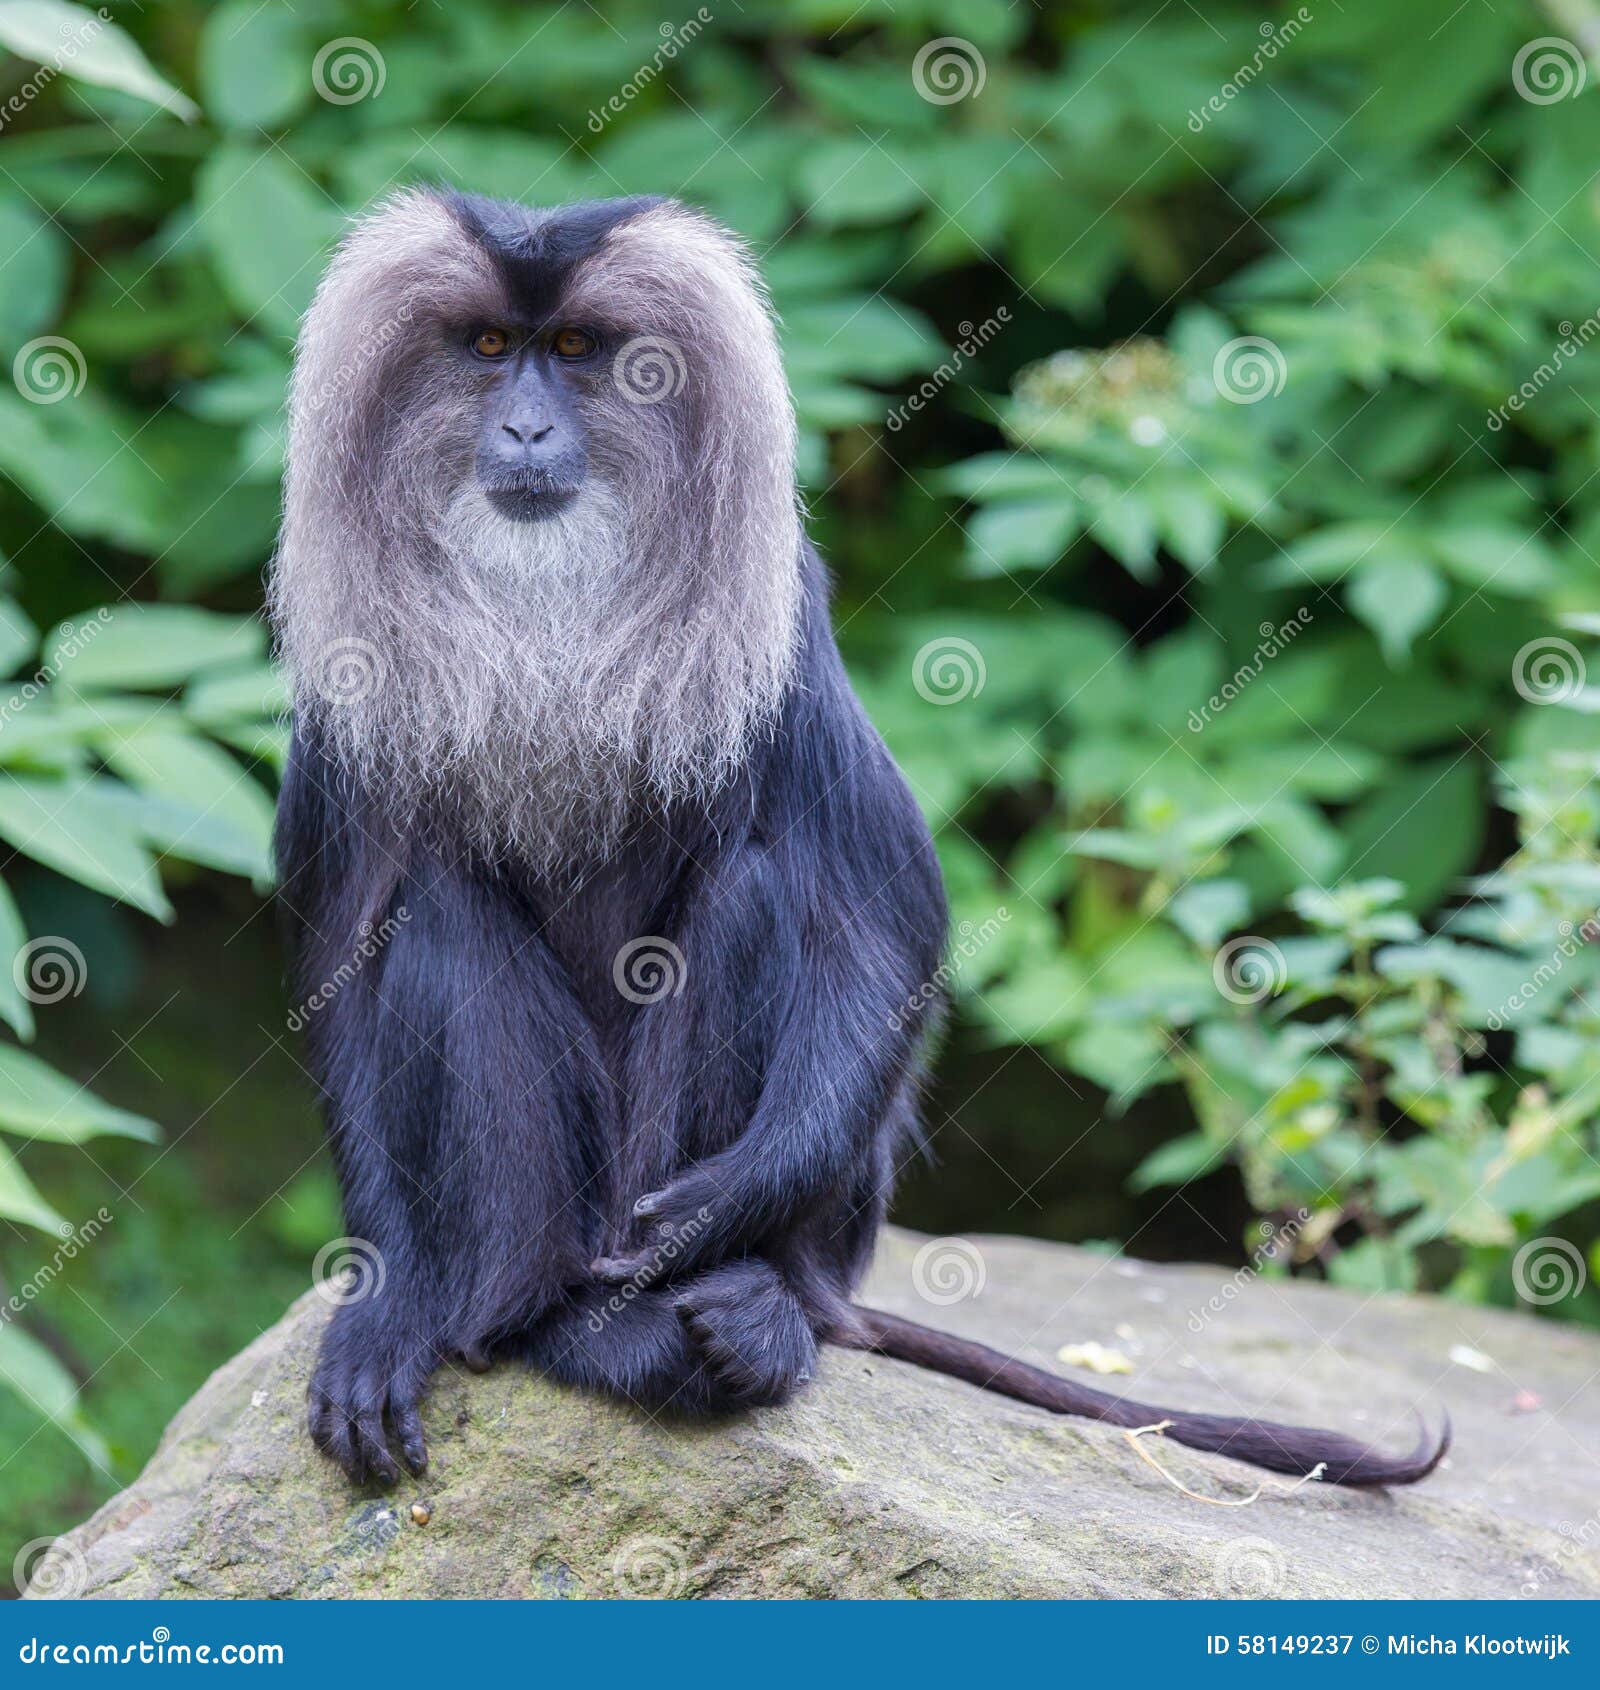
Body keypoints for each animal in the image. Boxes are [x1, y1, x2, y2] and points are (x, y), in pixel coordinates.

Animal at [269, 189, 1448, 1492]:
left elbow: (879, 922)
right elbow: (341, 957)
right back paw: (566, 1327)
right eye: (486, 350)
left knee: (754, 895)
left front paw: (715, 1208)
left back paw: (747, 1312)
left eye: (573, 351)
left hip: (825, 1228)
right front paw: (384, 1305)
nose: (525, 426)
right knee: (441, 913)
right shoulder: (348, 687)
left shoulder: (786, 626)